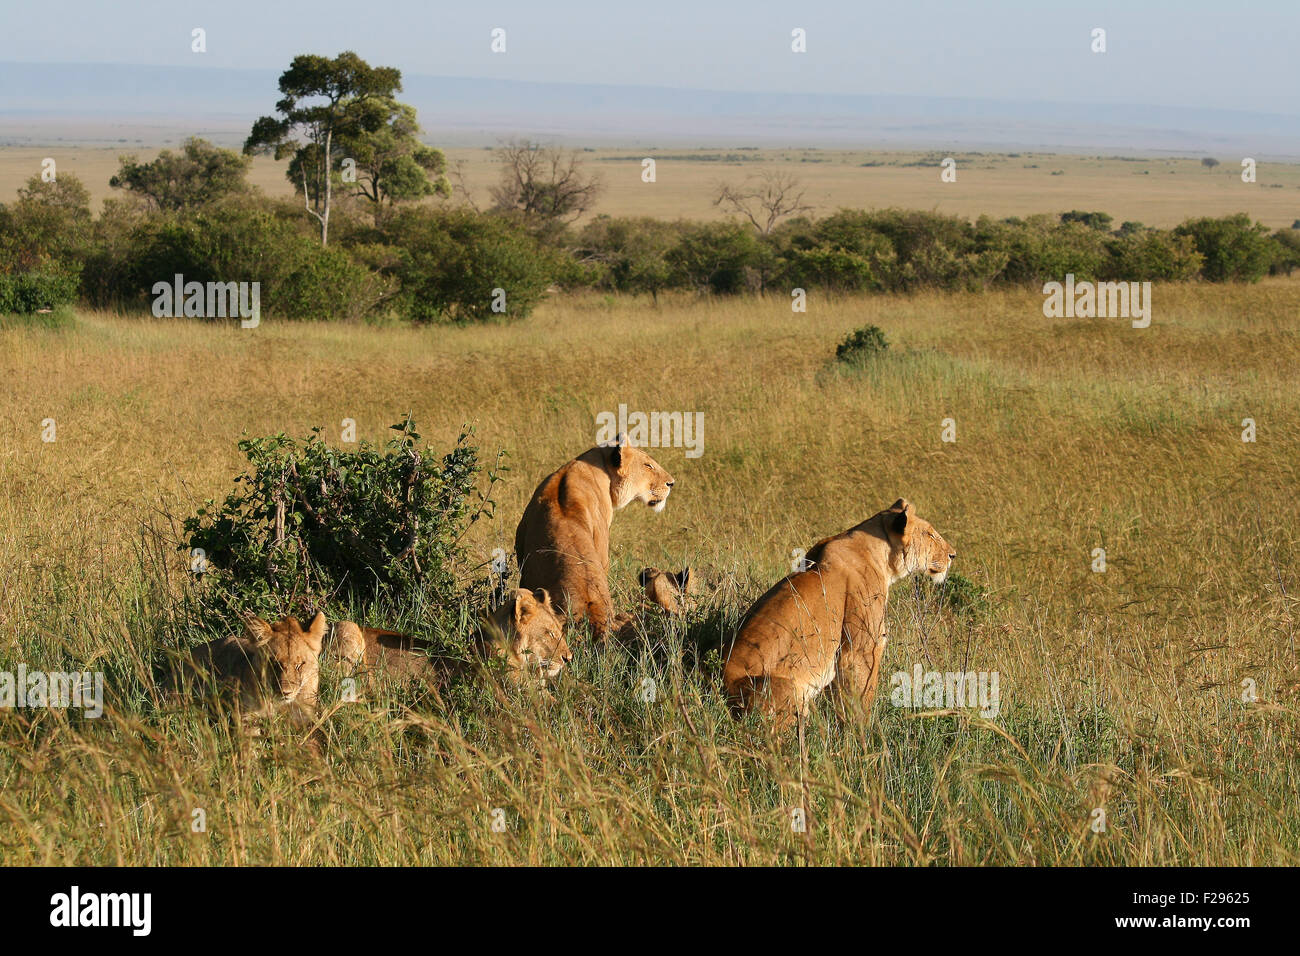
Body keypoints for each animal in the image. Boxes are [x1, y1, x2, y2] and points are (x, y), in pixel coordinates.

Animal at [723, 499, 954, 729]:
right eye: (930, 534)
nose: (953, 555)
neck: (882, 556)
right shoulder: (863, 648)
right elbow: (862, 696)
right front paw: (862, 731)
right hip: (785, 688)